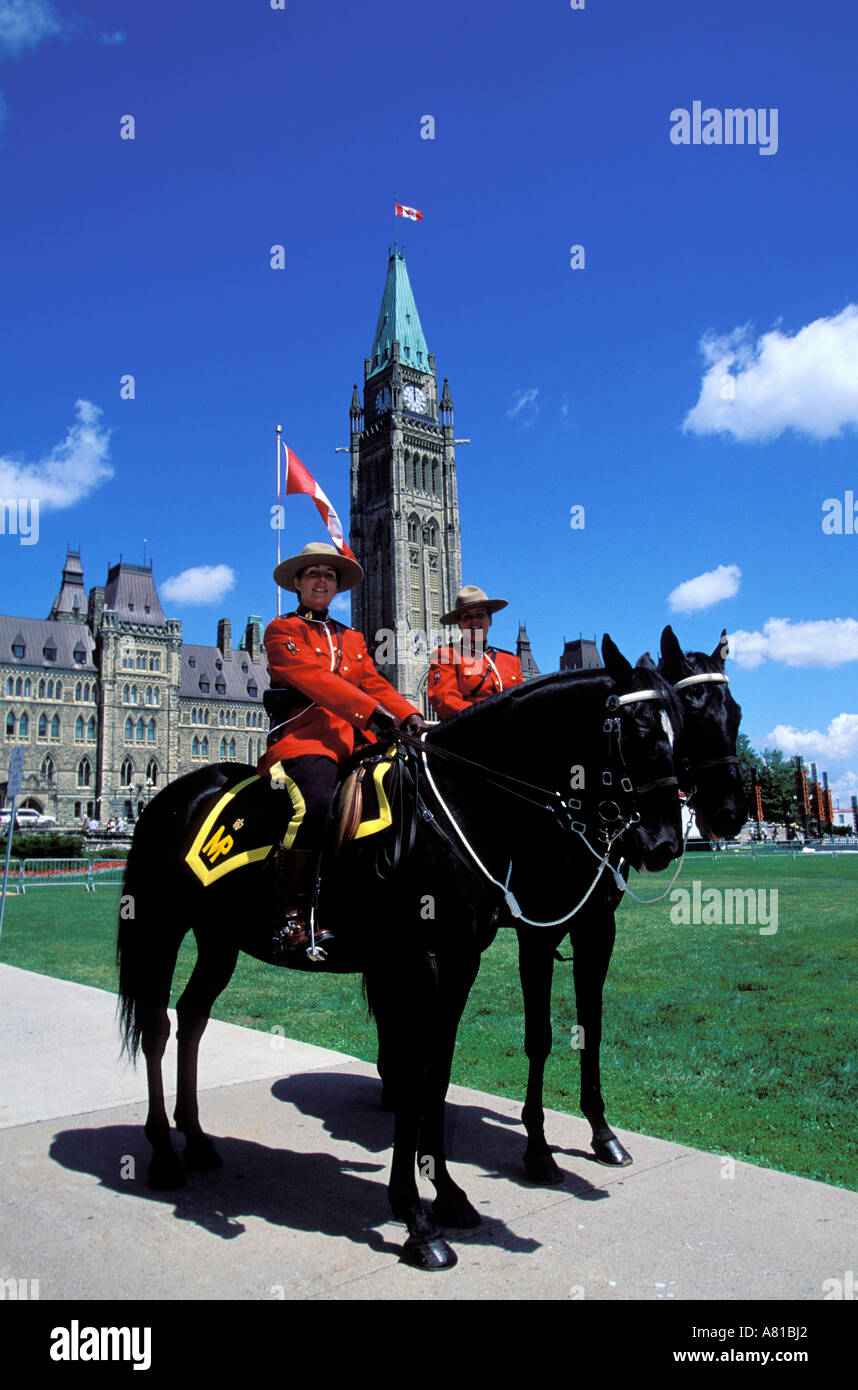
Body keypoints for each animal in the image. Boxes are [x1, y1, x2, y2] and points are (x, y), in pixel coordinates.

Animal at [116, 635, 685, 1270]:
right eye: (635, 729)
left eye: (679, 729)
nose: (664, 842)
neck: (458, 809)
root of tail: (175, 792)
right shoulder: (420, 962)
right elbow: (412, 1076)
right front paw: (416, 1218)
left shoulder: (461, 960)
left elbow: (438, 1071)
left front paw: (449, 1196)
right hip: (160, 925)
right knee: (156, 1026)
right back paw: (163, 1155)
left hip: (220, 936)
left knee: (191, 1017)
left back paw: (196, 1141)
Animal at [513, 626, 746, 1184]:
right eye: (692, 713)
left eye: (736, 712)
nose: (730, 814)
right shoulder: (536, 934)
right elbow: (539, 1036)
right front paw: (537, 1148)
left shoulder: (597, 927)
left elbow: (591, 1026)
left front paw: (602, 1132)